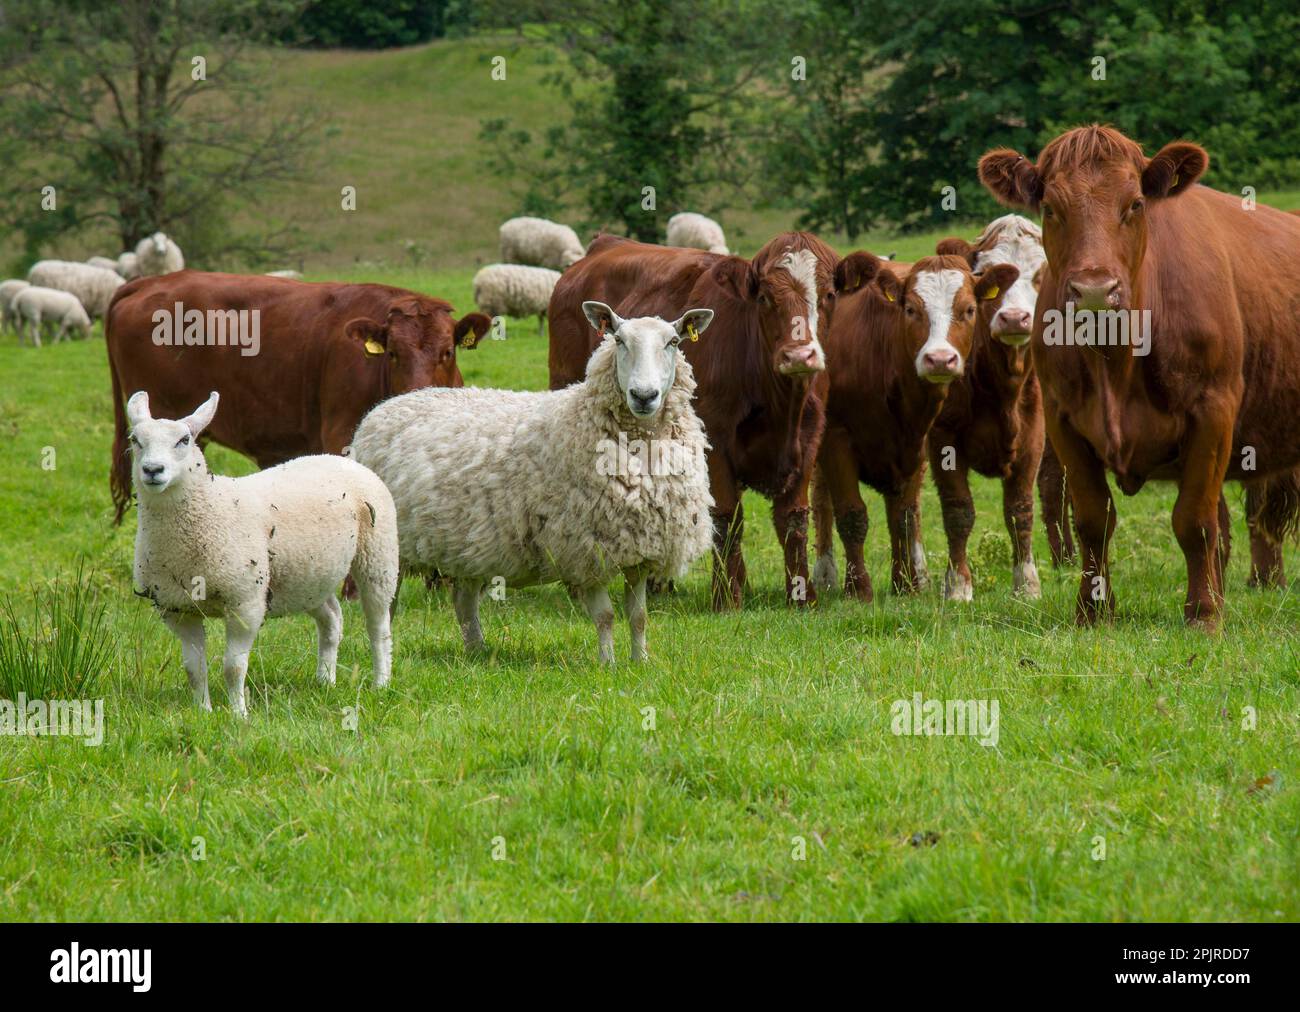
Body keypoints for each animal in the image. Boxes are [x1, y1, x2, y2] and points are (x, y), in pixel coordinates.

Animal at [548, 232, 878, 609]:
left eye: (829, 295)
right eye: (764, 297)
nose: (799, 355)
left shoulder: (808, 439)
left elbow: (793, 521)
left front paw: (801, 596)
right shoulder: (715, 442)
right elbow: (726, 518)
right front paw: (727, 598)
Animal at [811, 254, 1019, 601]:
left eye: (969, 310)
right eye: (910, 309)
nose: (940, 359)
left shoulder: (915, 443)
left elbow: (904, 517)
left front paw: (906, 585)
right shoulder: (835, 439)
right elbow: (851, 514)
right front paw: (858, 589)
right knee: (821, 501)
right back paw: (823, 574)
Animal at [921, 214, 1048, 600]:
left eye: (1040, 273)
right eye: (985, 273)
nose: (1015, 318)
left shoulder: (1033, 439)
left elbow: (1020, 511)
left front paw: (1027, 583)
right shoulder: (942, 439)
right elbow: (958, 512)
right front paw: (957, 585)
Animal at [979, 124, 1300, 629]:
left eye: (1134, 204)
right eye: (1051, 207)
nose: (1094, 290)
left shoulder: (1213, 412)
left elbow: (1195, 520)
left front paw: (1203, 613)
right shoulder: (1062, 419)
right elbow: (1093, 519)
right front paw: (1093, 611)